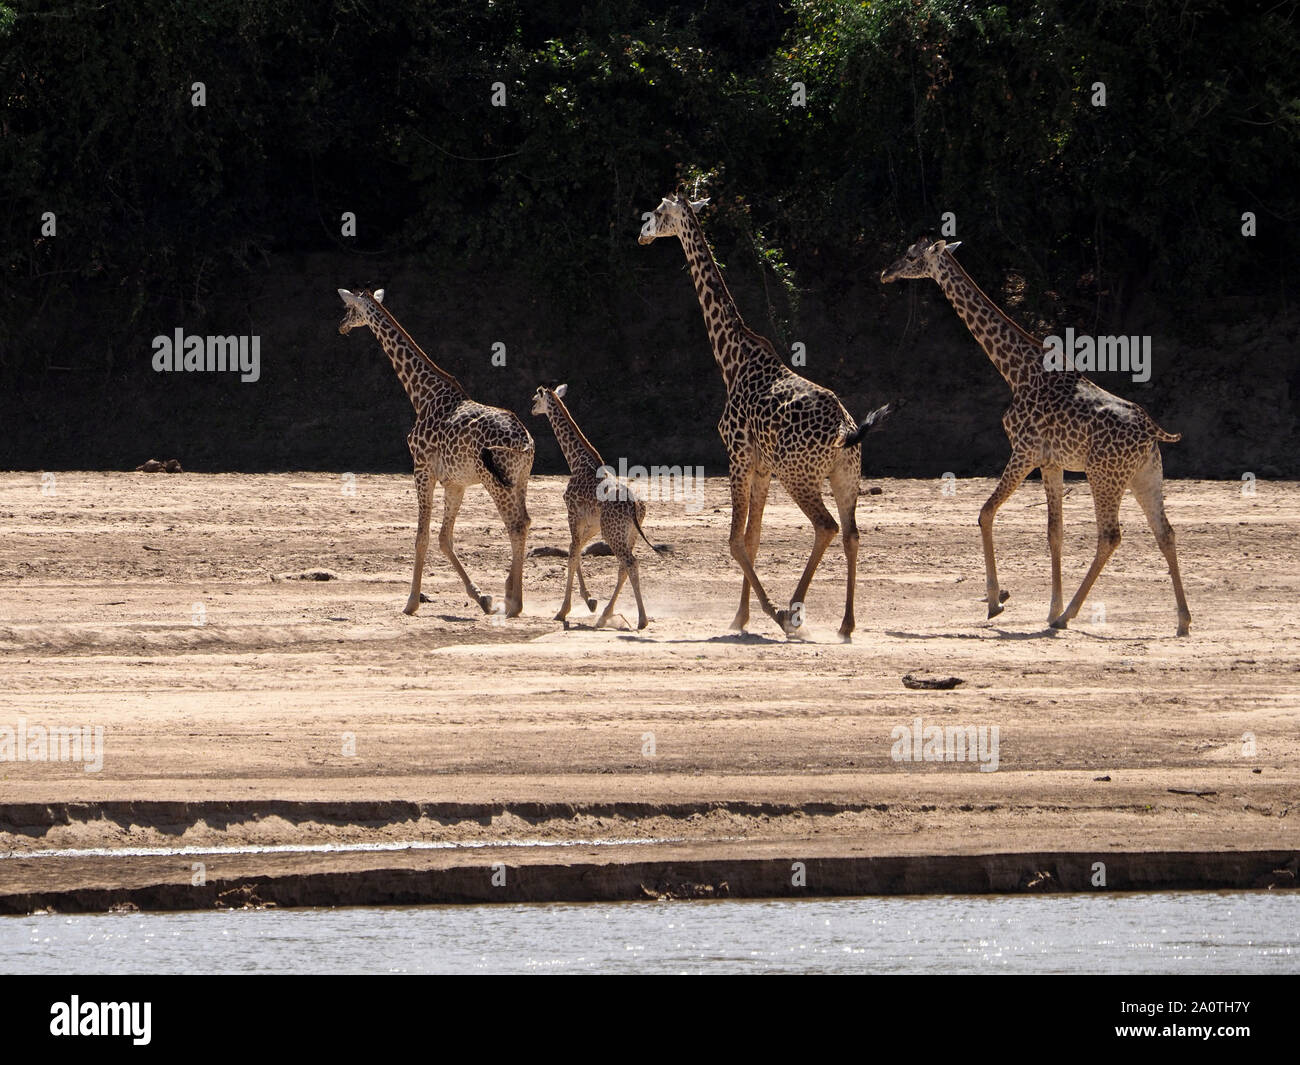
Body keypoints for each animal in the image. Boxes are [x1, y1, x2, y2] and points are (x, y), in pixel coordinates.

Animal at [336, 288, 534, 617]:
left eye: (350, 308)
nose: (341, 326)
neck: (422, 395)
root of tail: (525, 441)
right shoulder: (455, 483)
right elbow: (443, 538)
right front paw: (482, 598)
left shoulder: (421, 469)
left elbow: (422, 537)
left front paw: (411, 603)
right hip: (520, 481)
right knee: (525, 522)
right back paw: (510, 595)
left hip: (495, 481)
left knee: (515, 525)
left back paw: (515, 603)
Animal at [531, 383, 659, 630]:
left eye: (535, 399)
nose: (532, 410)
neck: (577, 462)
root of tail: (635, 506)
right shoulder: (592, 523)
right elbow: (576, 549)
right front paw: (590, 601)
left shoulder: (573, 513)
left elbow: (572, 553)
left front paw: (564, 610)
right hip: (627, 533)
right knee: (624, 567)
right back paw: (605, 615)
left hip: (613, 532)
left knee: (630, 563)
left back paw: (641, 620)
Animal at [639, 193, 893, 639]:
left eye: (658, 211)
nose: (641, 234)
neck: (732, 357)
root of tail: (847, 429)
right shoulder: (762, 467)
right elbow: (752, 538)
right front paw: (740, 617)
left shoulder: (738, 455)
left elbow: (734, 540)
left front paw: (766, 613)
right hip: (845, 476)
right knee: (851, 534)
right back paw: (846, 624)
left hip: (799, 476)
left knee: (826, 527)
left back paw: (792, 614)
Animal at [881, 236, 1191, 636]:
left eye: (910, 255)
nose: (886, 273)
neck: (1016, 371)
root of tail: (1152, 430)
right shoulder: (1051, 461)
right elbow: (1054, 532)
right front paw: (1046, 606)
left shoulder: (1024, 451)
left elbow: (985, 513)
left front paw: (997, 602)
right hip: (1145, 474)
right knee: (1165, 532)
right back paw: (1182, 620)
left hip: (1104, 475)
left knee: (1110, 535)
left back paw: (1068, 616)